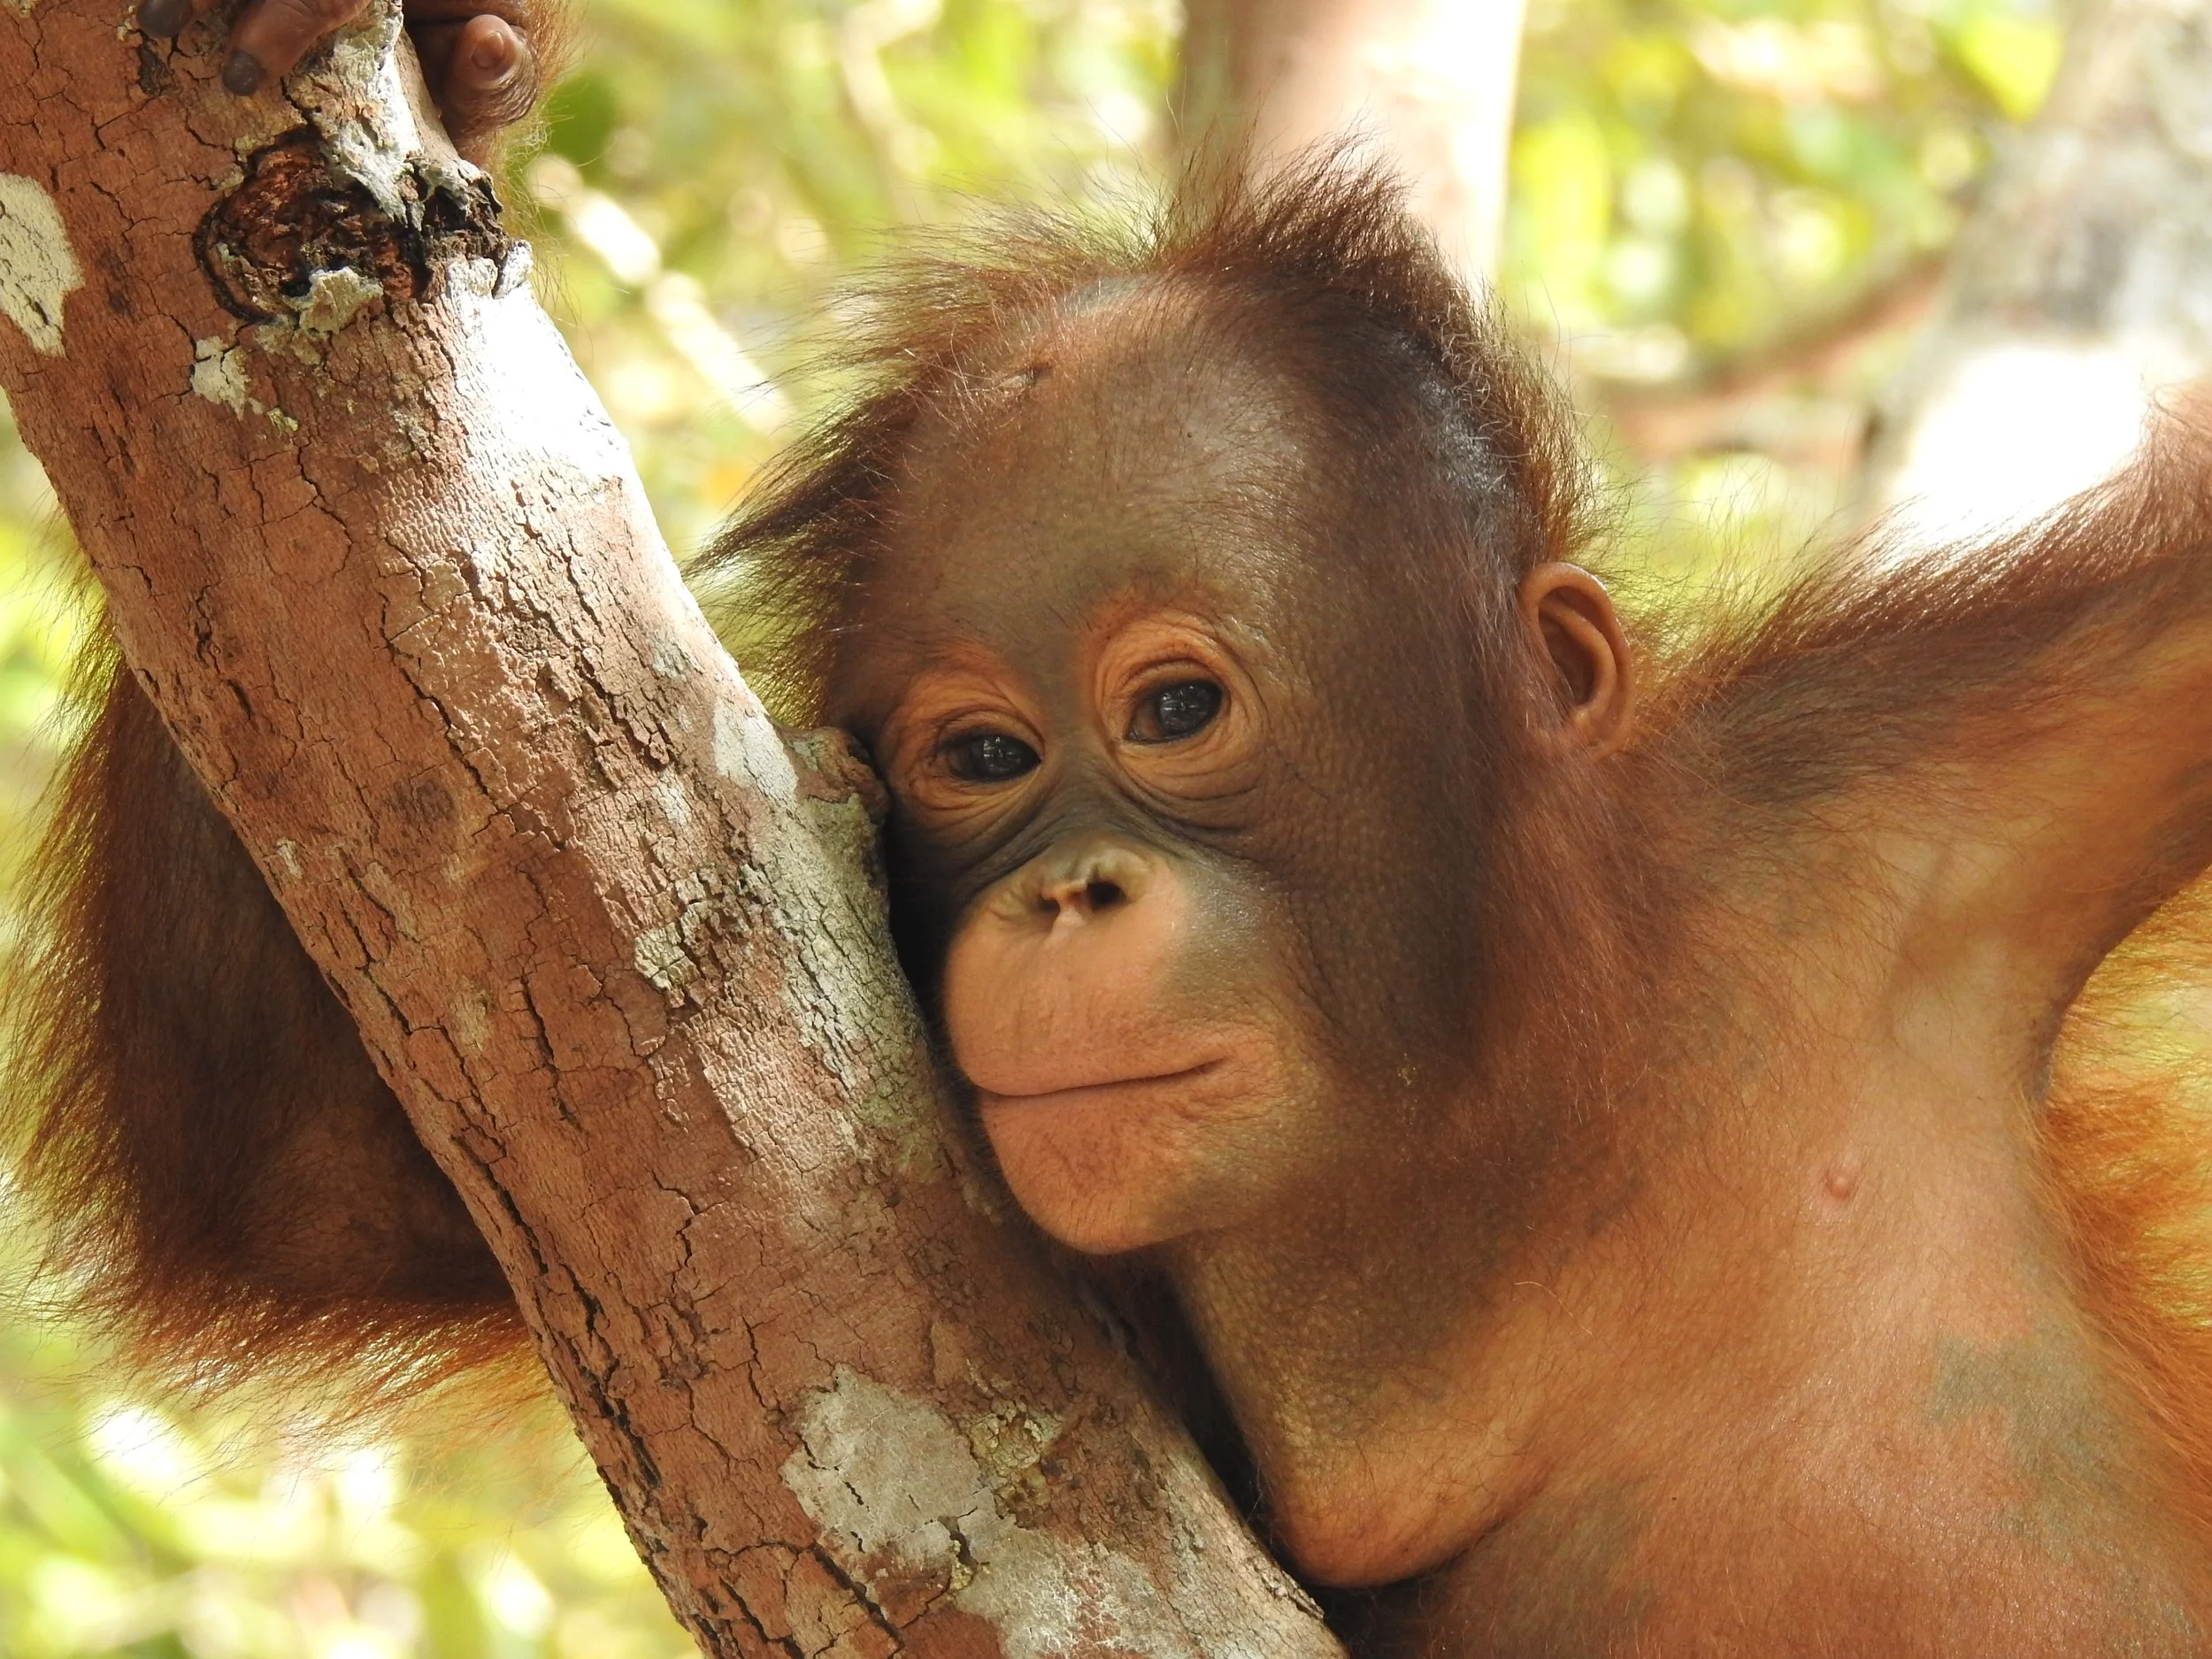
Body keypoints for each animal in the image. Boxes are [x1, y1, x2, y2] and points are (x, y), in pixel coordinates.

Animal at [23, 4, 2212, 1653]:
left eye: (1172, 712)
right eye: (982, 756)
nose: (1072, 892)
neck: (1478, 1120)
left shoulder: (1888, 809)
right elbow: (311, 1180)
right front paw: (468, 83)